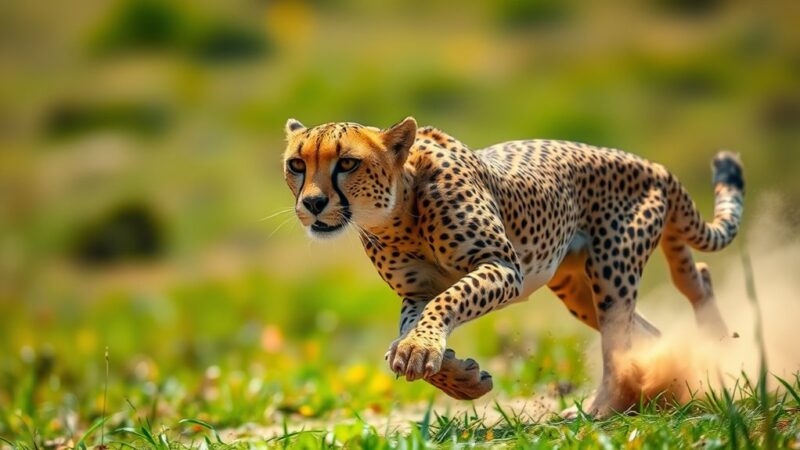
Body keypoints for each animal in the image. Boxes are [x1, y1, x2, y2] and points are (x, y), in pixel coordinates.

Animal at [281, 116, 744, 418]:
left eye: (347, 162)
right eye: (296, 165)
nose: (313, 204)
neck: (398, 212)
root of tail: (653, 165)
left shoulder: (502, 266)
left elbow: (449, 300)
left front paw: (420, 351)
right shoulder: (416, 292)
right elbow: (412, 325)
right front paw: (459, 376)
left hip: (613, 271)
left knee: (622, 344)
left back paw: (600, 410)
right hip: (579, 289)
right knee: (680, 297)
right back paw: (700, 358)